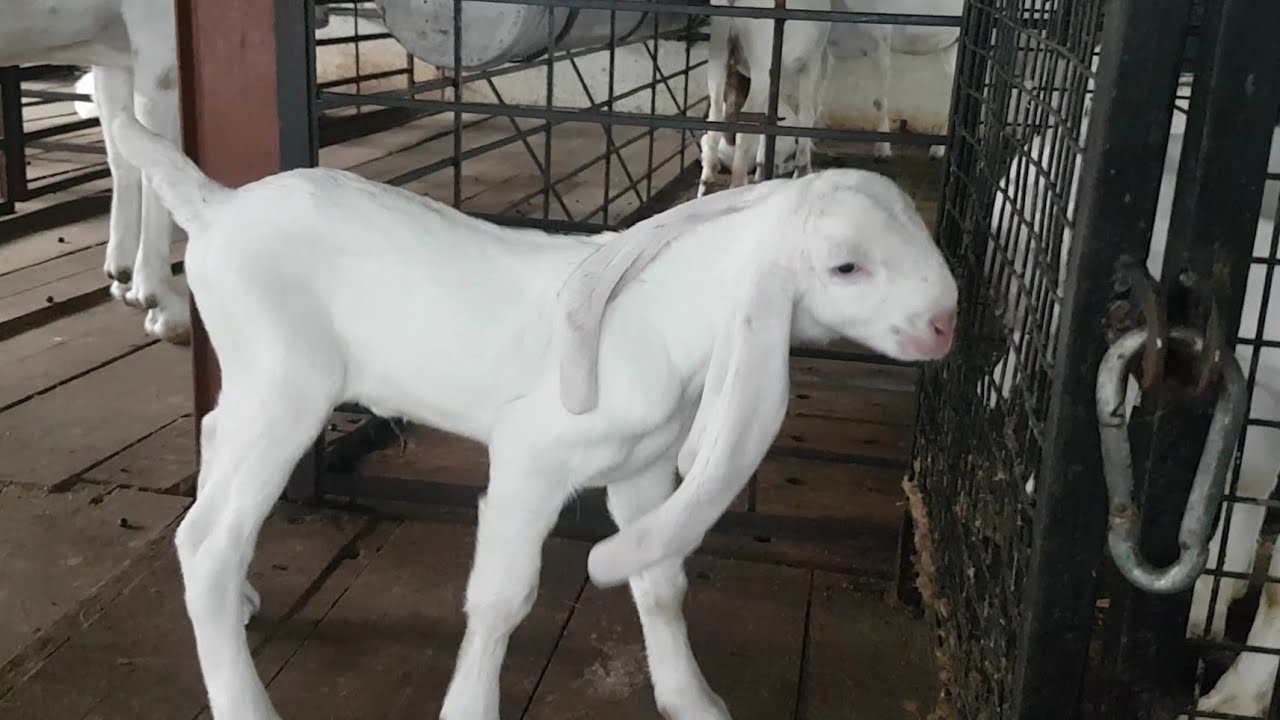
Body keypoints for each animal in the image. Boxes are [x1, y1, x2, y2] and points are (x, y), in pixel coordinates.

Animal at [109, 108, 957, 719]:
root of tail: (218, 208)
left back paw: (244, 599)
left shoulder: (647, 469)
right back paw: (244, 695)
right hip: (288, 386)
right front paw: (469, 708)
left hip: (254, 381)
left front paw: (693, 699)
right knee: (207, 542)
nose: (945, 324)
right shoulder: (530, 460)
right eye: (846, 266)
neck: (655, 319)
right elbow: (501, 599)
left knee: (215, 439)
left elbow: (660, 581)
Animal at [698, 0, 832, 197]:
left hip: (719, 52)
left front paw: (762, 169)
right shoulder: (810, 62)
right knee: (745, 119)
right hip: (760, 66)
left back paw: (706, 182)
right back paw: (738, 183)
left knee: (714, 118)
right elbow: (806, 115)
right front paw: (802, 169)